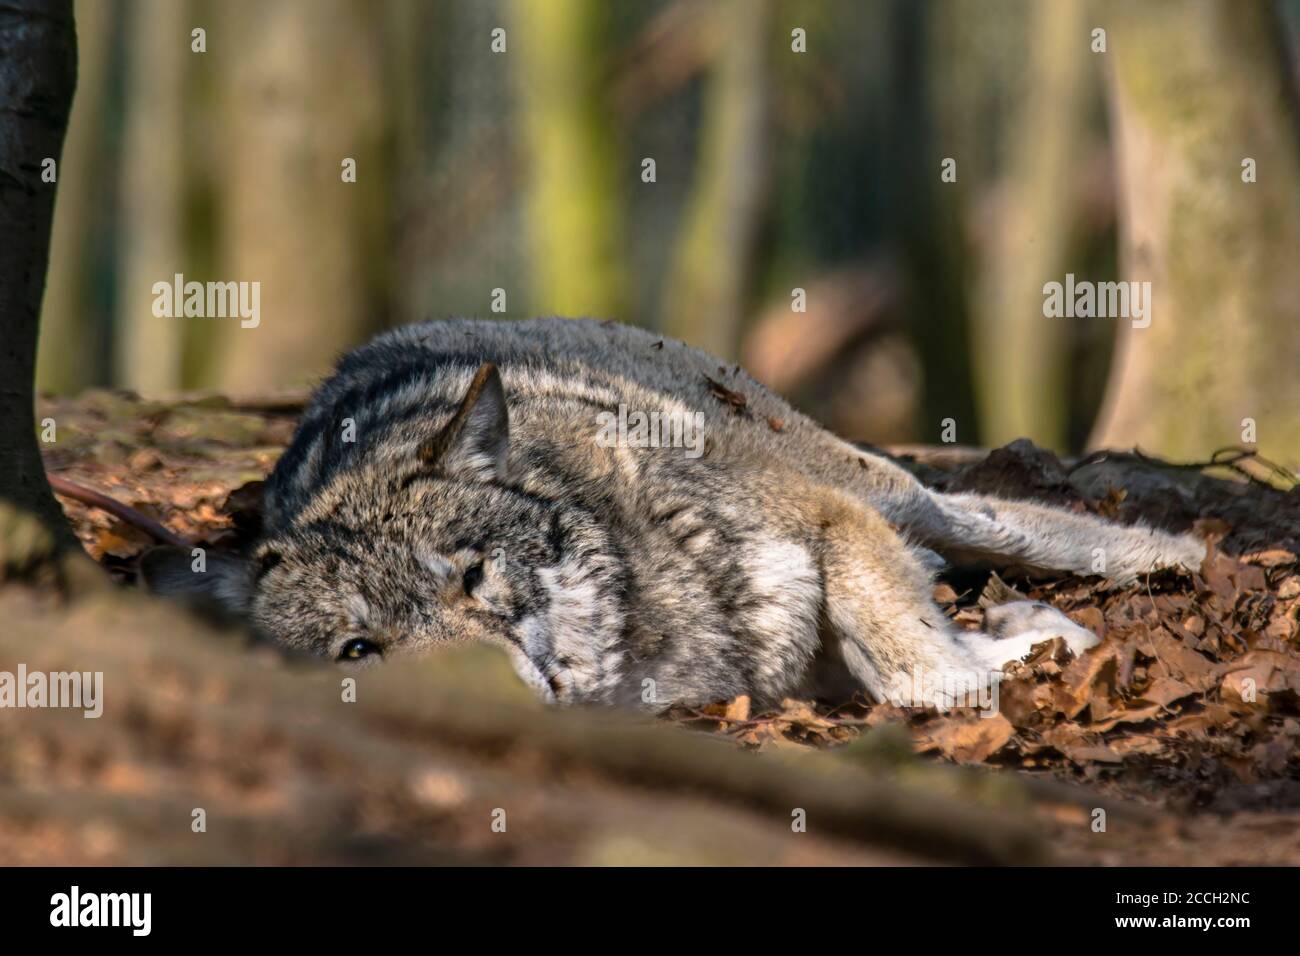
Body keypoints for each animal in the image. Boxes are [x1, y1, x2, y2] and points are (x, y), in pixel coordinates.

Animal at [143, 318, 1204, 709]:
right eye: (357, 651)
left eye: (474, 578)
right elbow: (904, 660)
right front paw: (1015, 646)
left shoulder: (827, 521)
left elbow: (910, 662)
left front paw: (993, 667)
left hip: (875, 484)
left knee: (995, 519)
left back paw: (1175, 559)